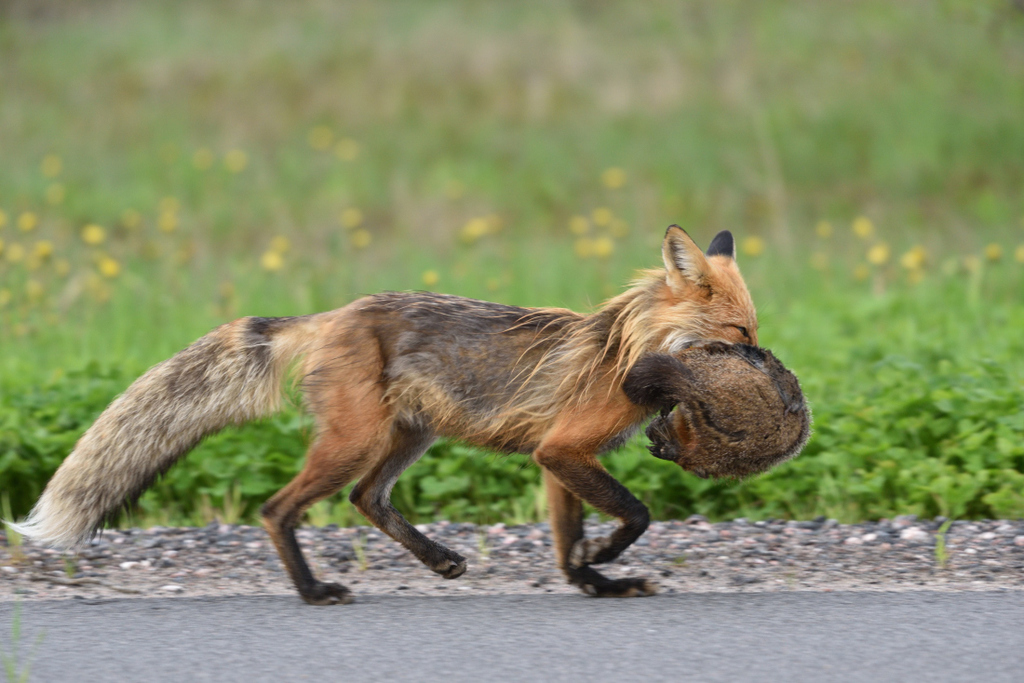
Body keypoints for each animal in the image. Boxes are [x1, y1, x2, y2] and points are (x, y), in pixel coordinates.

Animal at [11, 225, 758, 604]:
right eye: (739, 334)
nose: (764, 364)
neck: (629, 350)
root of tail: (329, 314)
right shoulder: (566, 449)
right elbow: (636, 513)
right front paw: (606, 560)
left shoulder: (557, 457)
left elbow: (566, 541)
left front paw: (597, 580)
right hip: (354, 440)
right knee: (279, 509)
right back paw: (315, 590)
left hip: (406, 438)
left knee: (366, 499)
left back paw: (437, 561)